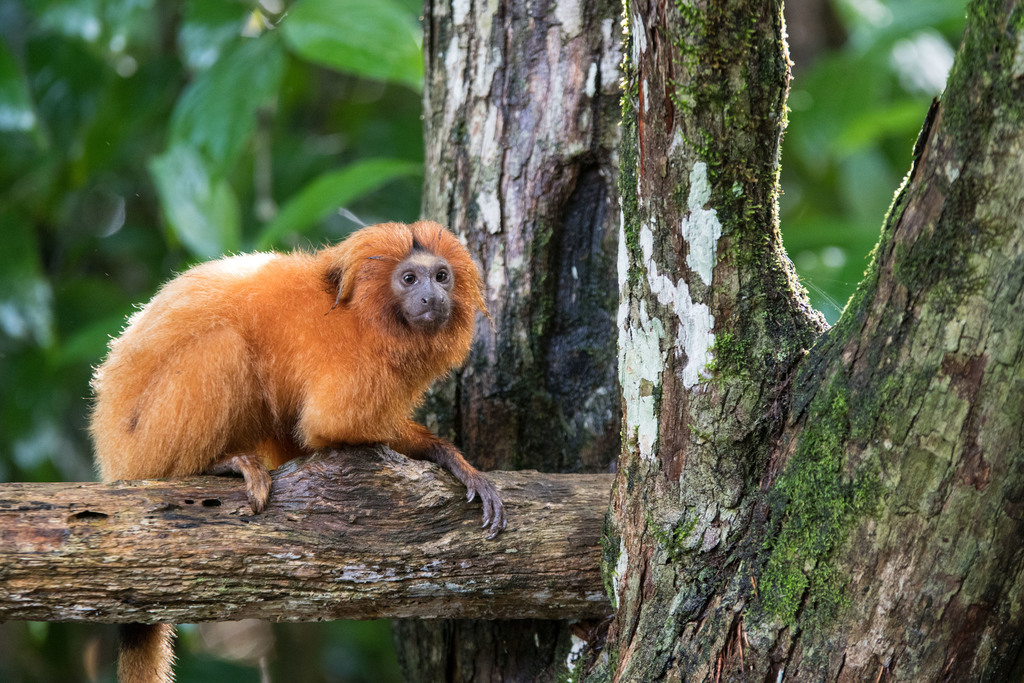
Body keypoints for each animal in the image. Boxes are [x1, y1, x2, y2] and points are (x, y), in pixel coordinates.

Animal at [89, 220, 505, 683]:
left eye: (441, 276)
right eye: (410, 279)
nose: (432, 298)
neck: (366, 314)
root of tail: (112, 456)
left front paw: (453, 461)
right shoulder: (349, 361)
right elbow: (332, 423)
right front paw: (442, 453)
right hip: (146, 442)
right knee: (224, 345)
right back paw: (219, 465)